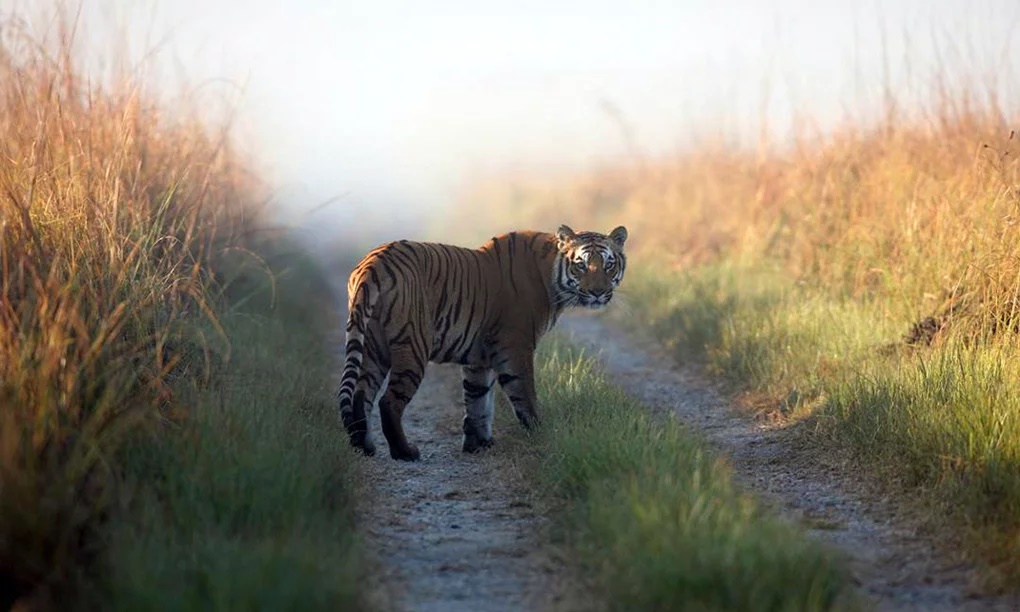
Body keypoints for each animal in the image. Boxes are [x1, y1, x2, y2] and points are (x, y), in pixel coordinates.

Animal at [337, 224, 628, 461]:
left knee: (361, 393)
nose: (598, 292)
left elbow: (477, 399)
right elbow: (524, 396)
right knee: (388, 402)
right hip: (412, 346)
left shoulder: (479, 357)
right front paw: (542, 436)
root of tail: (373, 264)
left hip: (374, 346)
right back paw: (404, 452)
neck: (551, 276)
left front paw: (477, 444)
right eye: (581, 265)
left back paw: (364, 446)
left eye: (609, 265)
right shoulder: (516, 347)